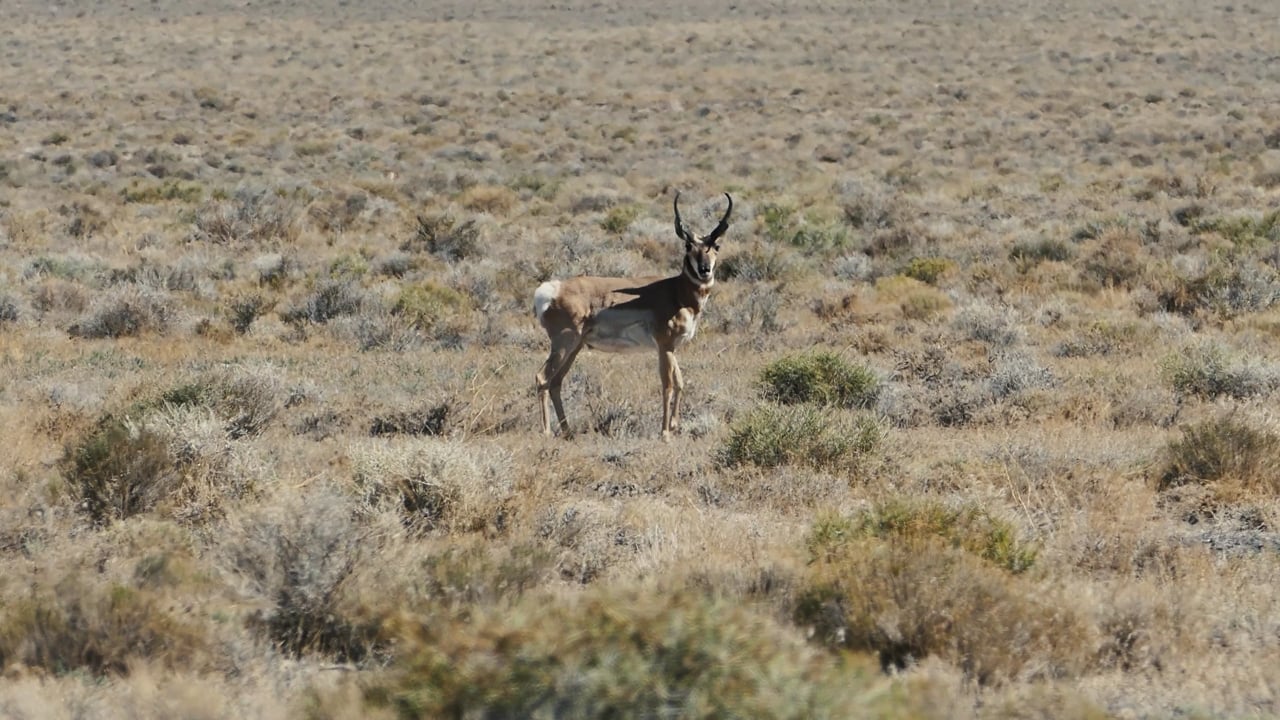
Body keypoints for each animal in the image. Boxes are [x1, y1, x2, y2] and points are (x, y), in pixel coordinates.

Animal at [534, 191, 733, 439]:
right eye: (688, 245)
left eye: (716, 245)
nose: (704, 270)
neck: (676, 291)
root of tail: (554, 289)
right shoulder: (664, 347)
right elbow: (667, 385)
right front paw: (664, 433)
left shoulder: (672, 348)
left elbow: (680, 382)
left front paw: (673, 426)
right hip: (564, 344)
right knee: (542, 378)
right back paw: (546, 432)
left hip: (574, 348)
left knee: (556, 382)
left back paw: (568, 431)